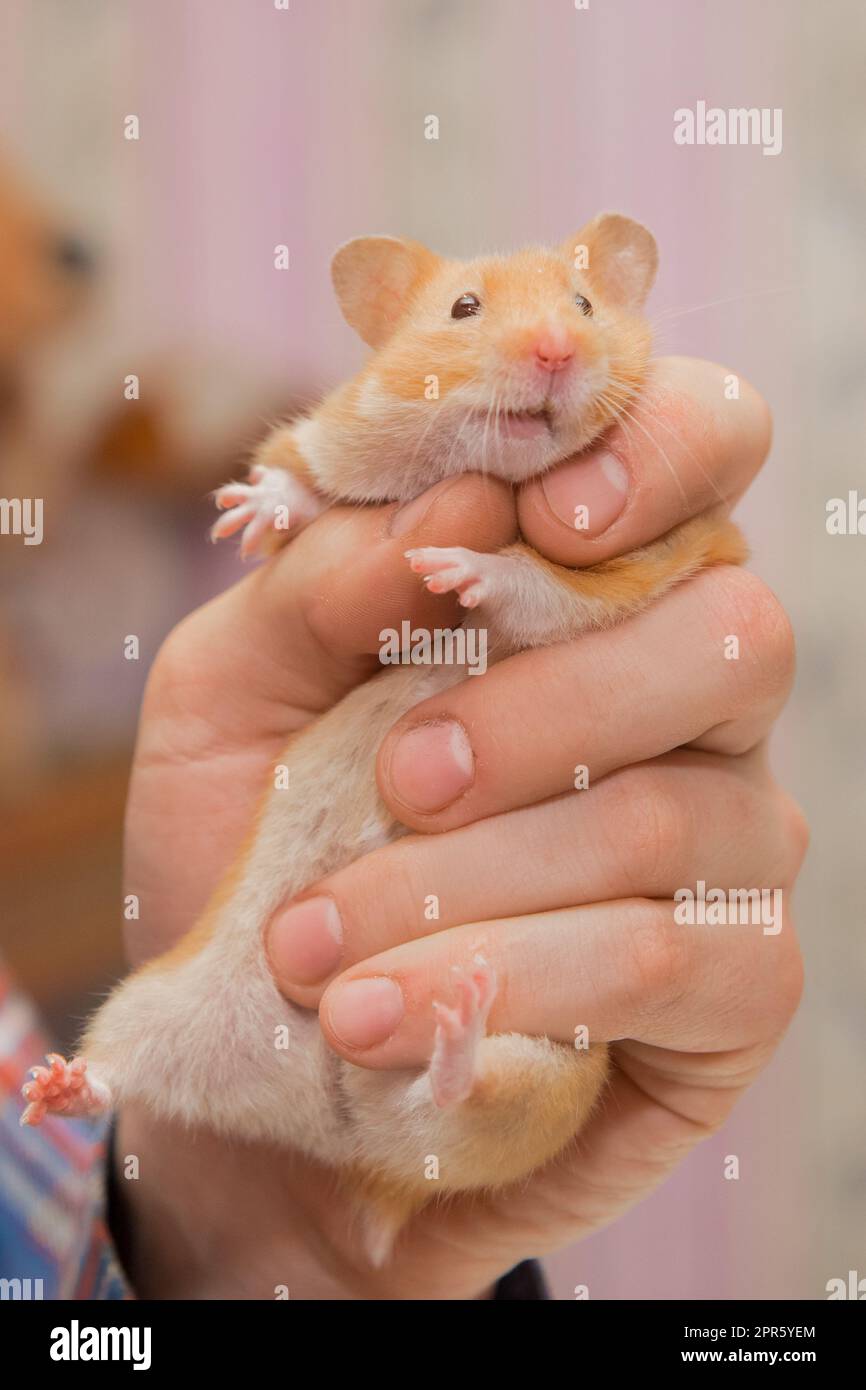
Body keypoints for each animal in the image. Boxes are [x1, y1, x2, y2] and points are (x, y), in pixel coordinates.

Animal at [21, 215, 746, 1264]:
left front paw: (453, 566)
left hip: (543, 1084)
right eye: (464, 308)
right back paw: (49, 1087)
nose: (556, 352)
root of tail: (331, 1139)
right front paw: (249, 516)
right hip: (152, 1005)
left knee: (459, 1103)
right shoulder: (340, 435)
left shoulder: (647, 565)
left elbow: (541, 586)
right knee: (120, 1075)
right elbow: (305, 481)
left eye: (583, 305)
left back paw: (456, 1023)